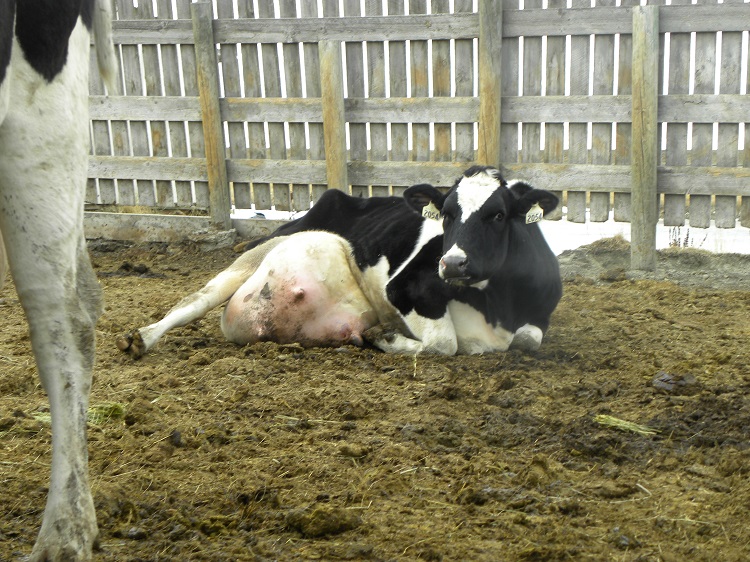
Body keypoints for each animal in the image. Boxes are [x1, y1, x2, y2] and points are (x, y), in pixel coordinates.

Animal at [118, 166, 562, 358]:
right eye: (447, 214)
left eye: (499, 215)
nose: (451, 264)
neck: (497, 305)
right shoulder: (403, 287)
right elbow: (445, 344)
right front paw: (388, 339)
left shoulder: (540, 313)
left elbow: (526, 341)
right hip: (250, 261)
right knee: (192, 301)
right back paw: (141, 338)